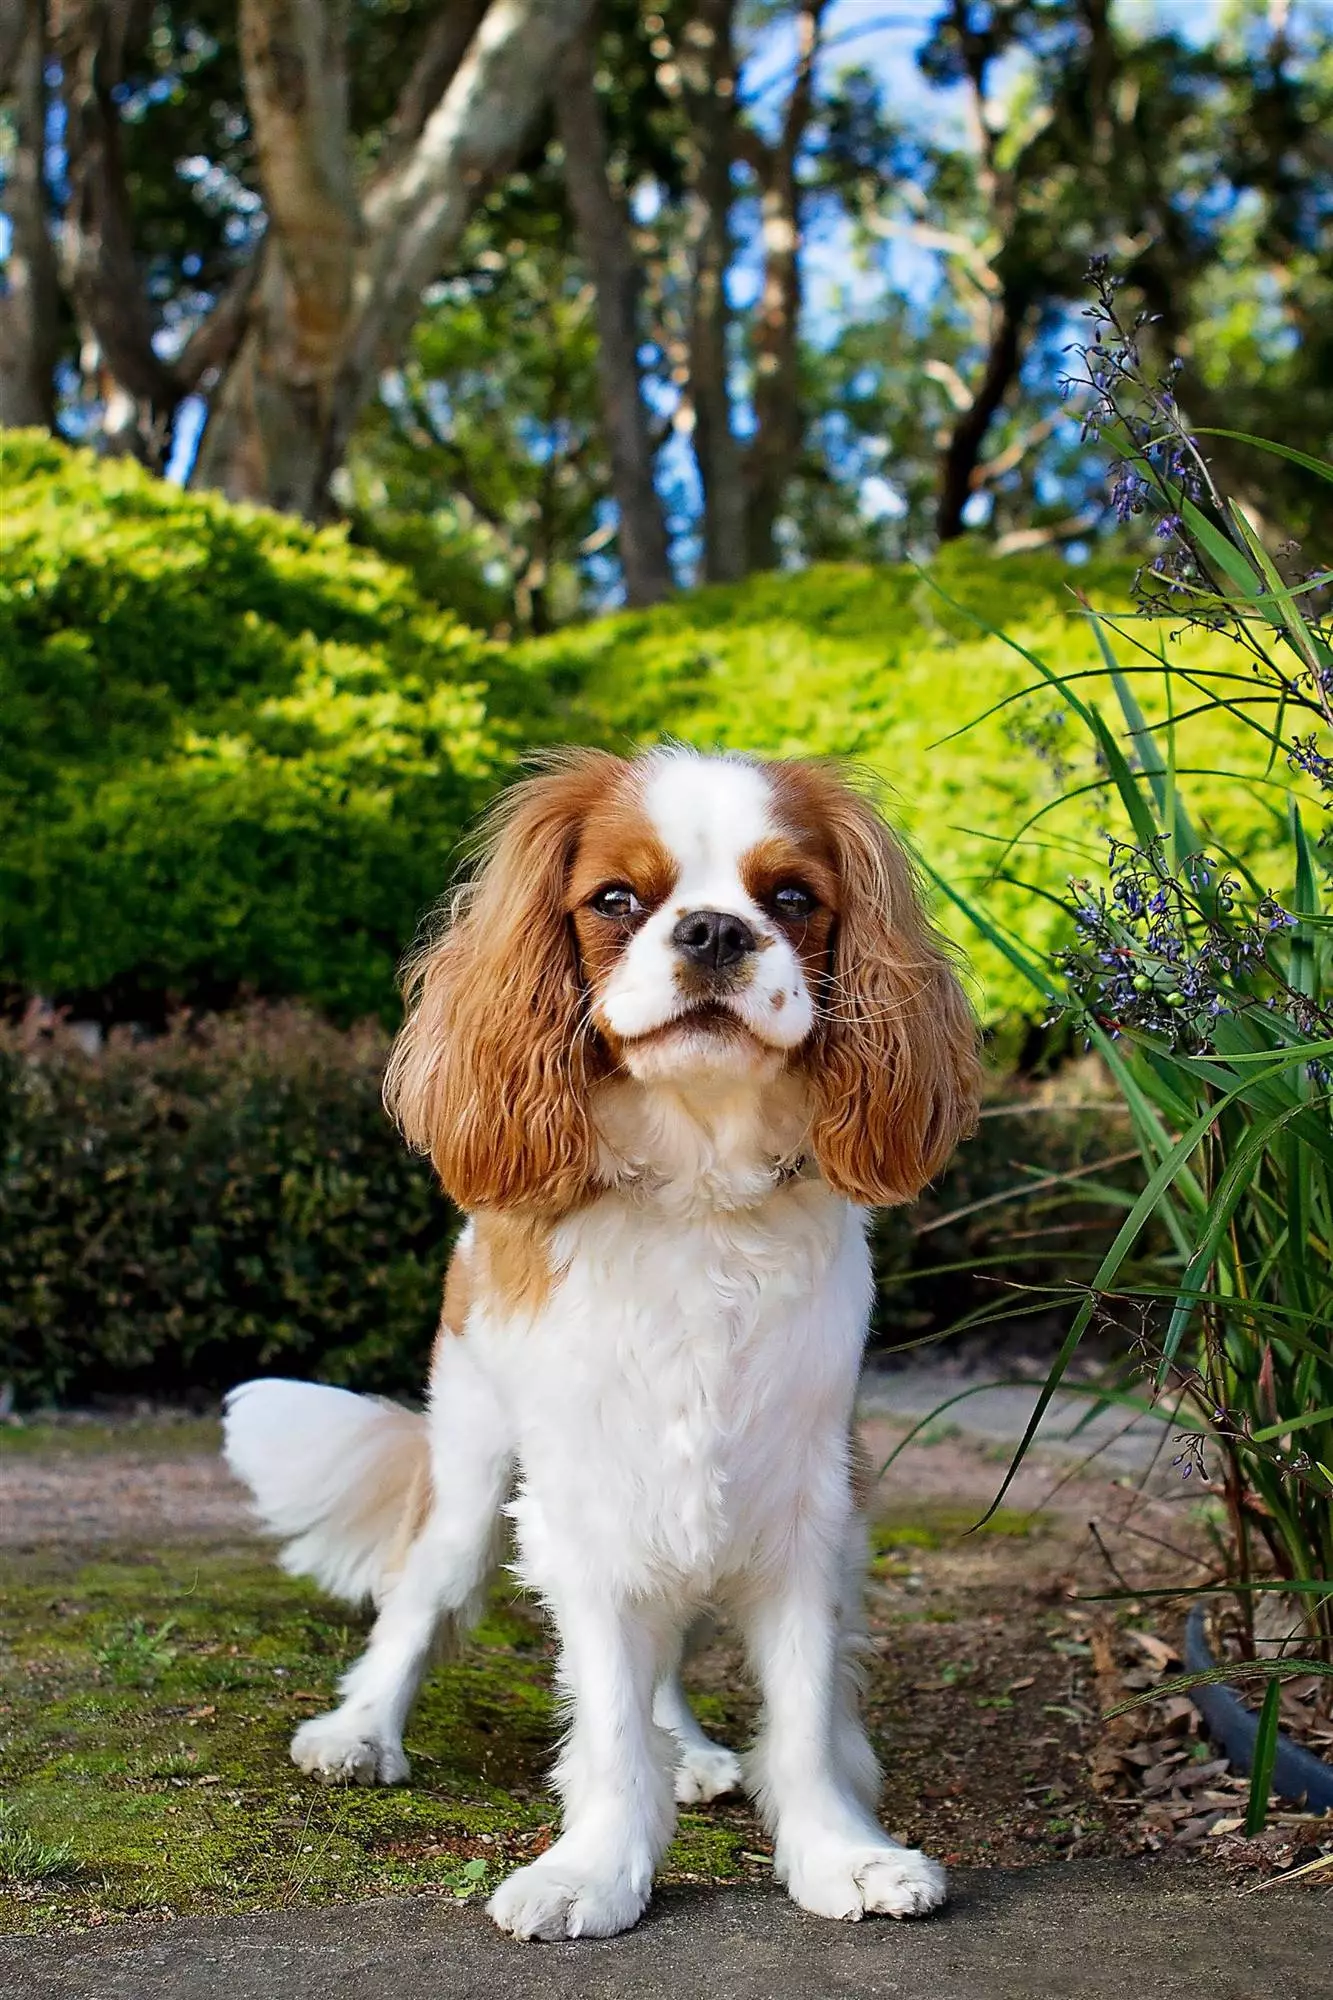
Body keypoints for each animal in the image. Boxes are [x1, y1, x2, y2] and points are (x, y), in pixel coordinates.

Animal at [223, 744, 976, 1928]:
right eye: (617, 900)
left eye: (791, 898)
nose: (711, 930)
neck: (697, 1192)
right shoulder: (578, 1501)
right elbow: (605, 1711)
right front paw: (598, 1865)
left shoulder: (805, 1505)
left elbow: (804, 1710)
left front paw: (839, 1854)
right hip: (473, 1466)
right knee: (418, 1599)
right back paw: (358, 1731)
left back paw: (694, 1751)